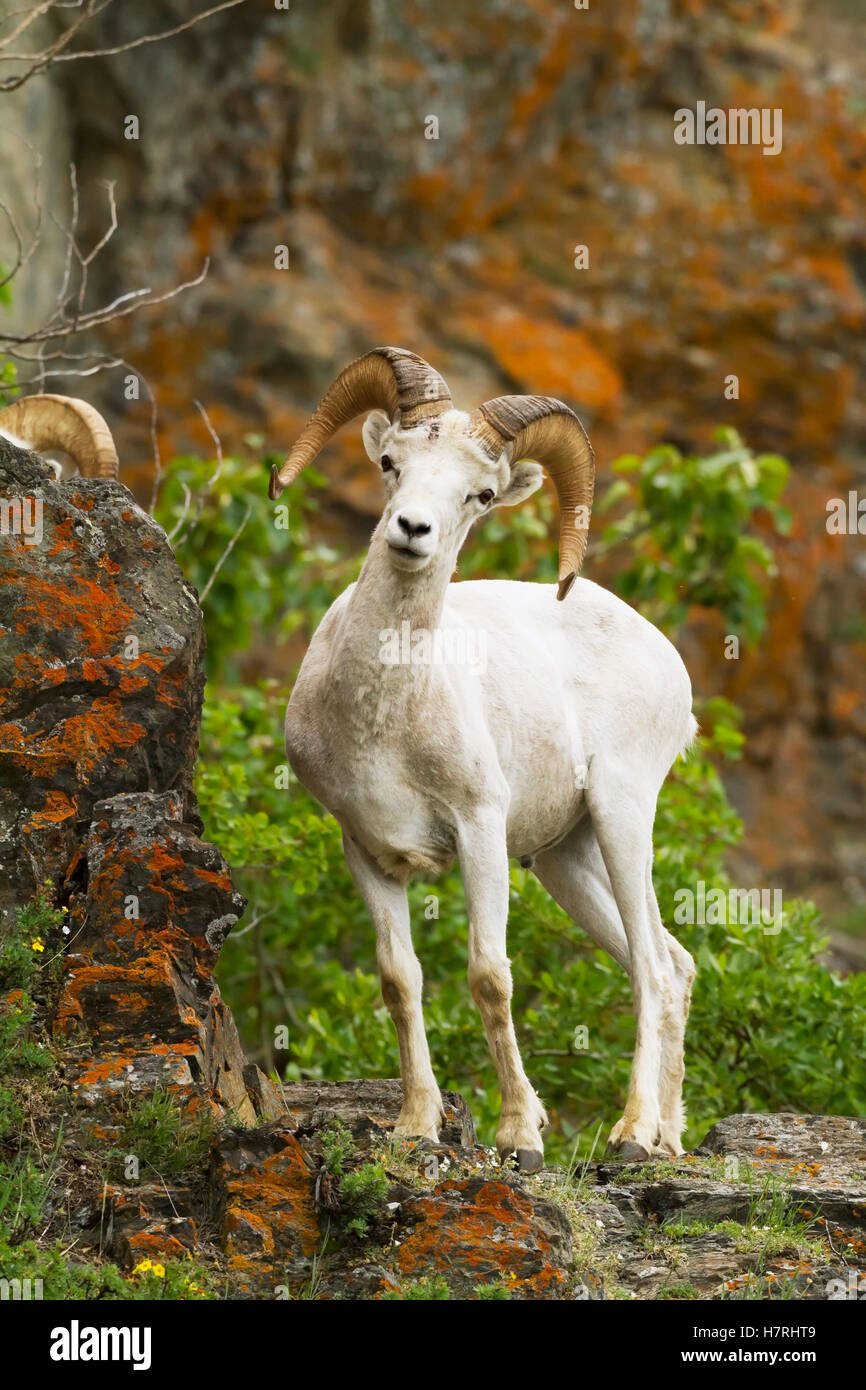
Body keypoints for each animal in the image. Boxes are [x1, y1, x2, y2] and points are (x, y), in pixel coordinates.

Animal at [271, 347, 697, 1170]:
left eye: (481, 493)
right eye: (391, 463)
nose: (412, 529)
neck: (386, 720)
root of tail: (667, 660)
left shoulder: (479, 832)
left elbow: (490, 978)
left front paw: (520, 1136)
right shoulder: (365, 850)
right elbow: (399, 982)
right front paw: (414, 1126)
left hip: (623, 817)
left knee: (654, 971)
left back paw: (631, 1136)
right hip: (568, 859)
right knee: (671, 961)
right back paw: (666, 1137)